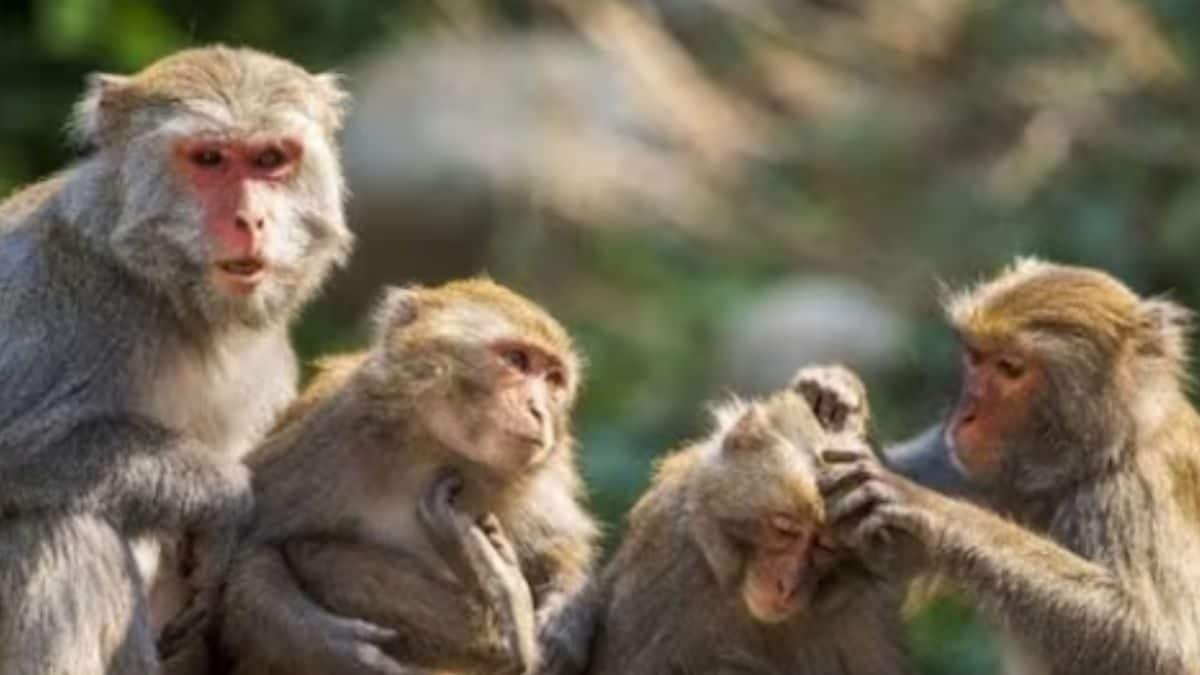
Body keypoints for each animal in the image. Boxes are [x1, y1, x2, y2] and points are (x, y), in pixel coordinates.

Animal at [0, 45, 353, 675]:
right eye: (209, 159)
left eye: (270, 159)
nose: (250, 220)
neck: (168, 297)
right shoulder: (49, 299)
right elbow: (15, 448)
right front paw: (223, 497)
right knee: (64, 528)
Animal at [219, 278, 600, 675]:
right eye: (517, 360)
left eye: (554, 379)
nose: (539, 410)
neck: (438, 456)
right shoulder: (327, 438)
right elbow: (253, 552)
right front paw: (327, 645)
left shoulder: (541, 483)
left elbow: (563, 547)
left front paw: (562, 621)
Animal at [821, 257, 1200, 675]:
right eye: (975, 356)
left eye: (1011, 367)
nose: (965, 416)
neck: (1094, 458)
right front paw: (827, 392)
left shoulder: (1133, 490)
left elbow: (1158, 648)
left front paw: (934, 512)